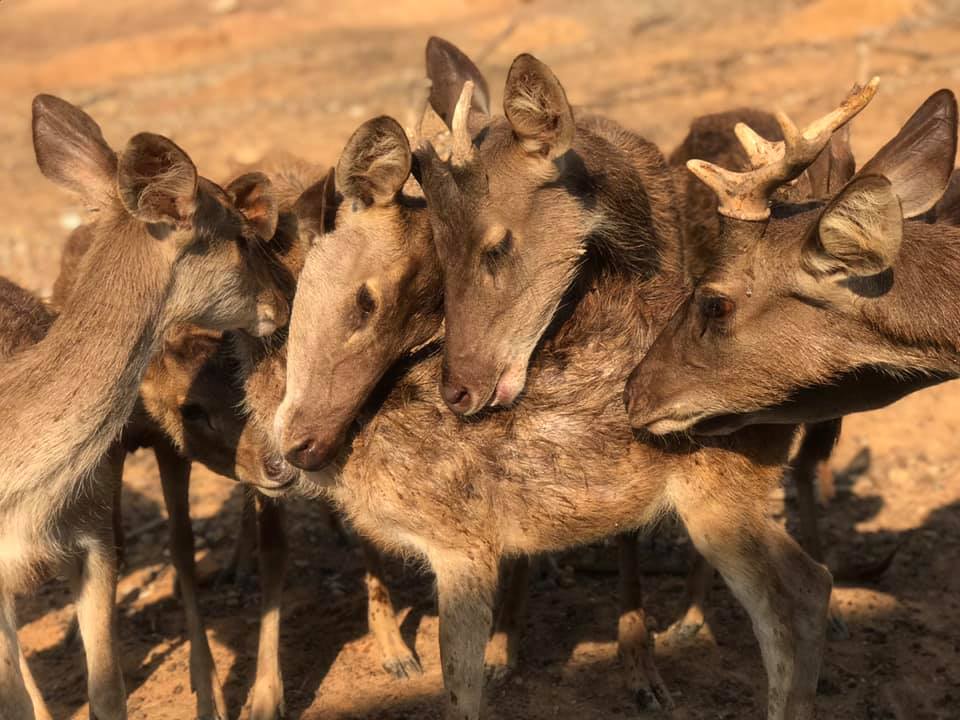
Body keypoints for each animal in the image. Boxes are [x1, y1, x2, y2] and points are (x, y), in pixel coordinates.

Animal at [271, 42, 870, 720]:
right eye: (440, 278)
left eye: (497, 246)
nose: (304, 445)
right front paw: (500, 647)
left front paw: (640, 670)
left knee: (797, 567)